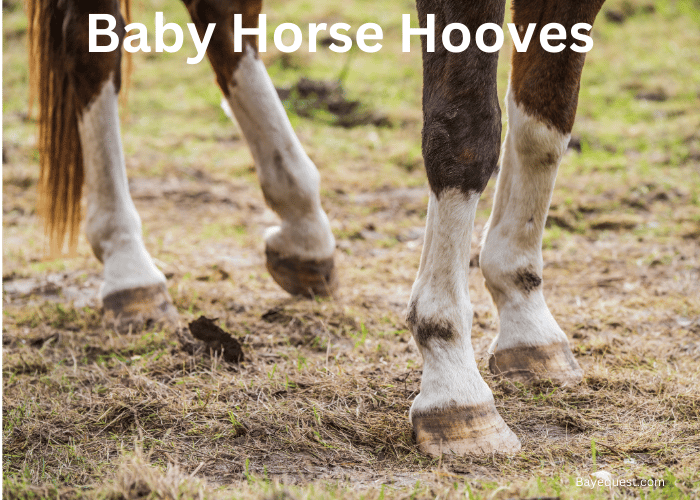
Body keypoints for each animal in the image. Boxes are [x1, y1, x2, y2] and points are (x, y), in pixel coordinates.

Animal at [26, 0, 605, 456]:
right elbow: (466, 131)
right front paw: (454, 382)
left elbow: (545, 121)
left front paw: (526, 317)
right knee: (89, 37)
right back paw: (128, 267)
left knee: (222, 17)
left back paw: (303, 228)